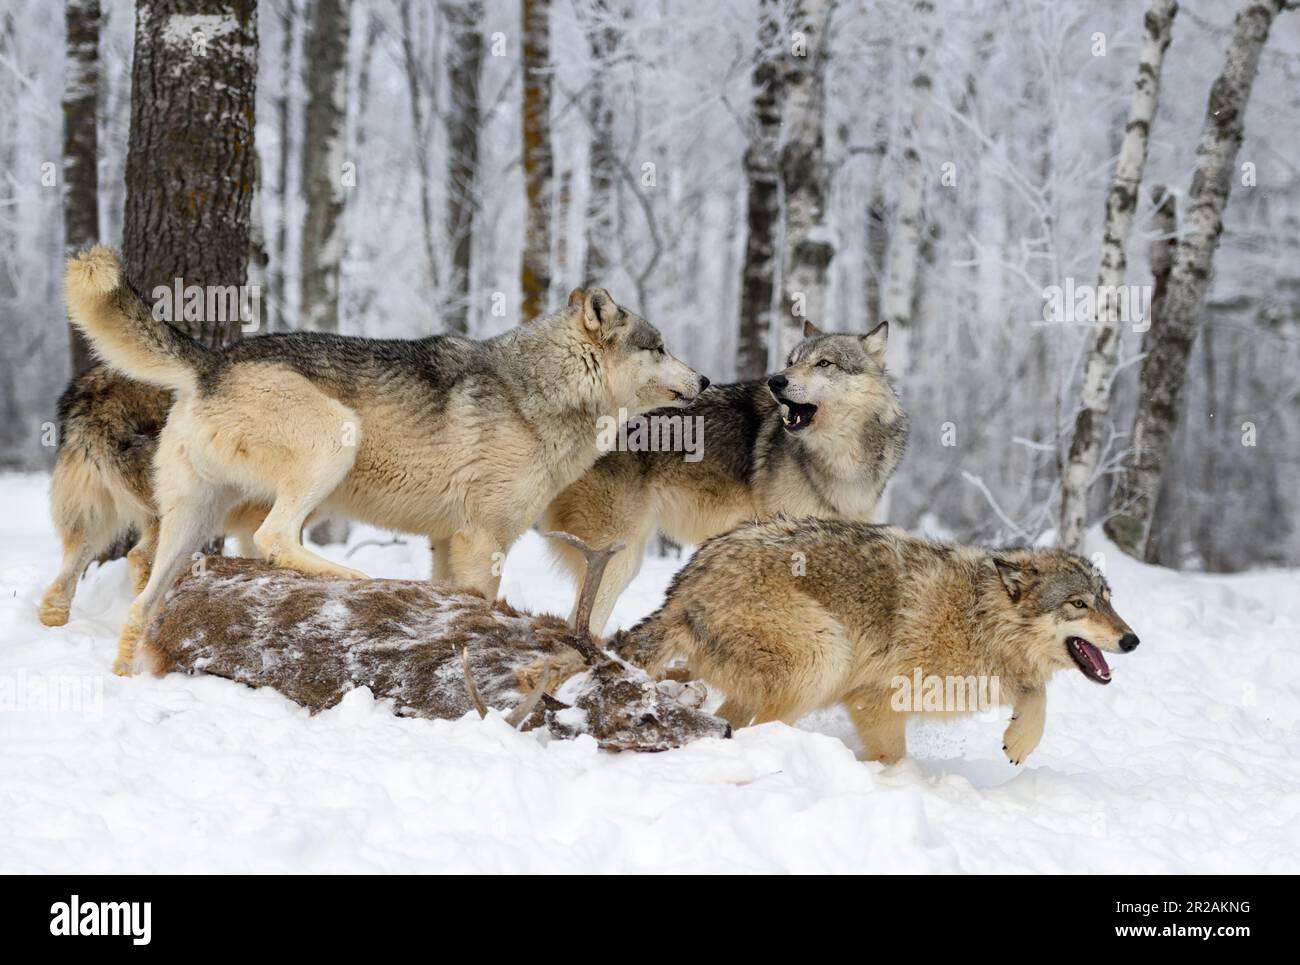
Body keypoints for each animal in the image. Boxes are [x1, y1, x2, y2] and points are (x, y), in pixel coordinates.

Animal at [65, 246, 705, 674]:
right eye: (661, 347)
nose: (704, 379)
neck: (538, 392)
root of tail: (211, 362)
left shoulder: (448, 544)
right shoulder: (484, 540)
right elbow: (486, 603)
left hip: (194, 523)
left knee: (143, 603)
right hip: (334, 443)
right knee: (274, 538)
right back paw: (350, 577)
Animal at [613, 517, 1140, 765]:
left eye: (1108, 599)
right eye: (1079, 604)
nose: (1132, 640)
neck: (978, 618)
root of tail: (681, 590)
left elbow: (1037, 694)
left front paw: (1020, 740)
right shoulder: (875, 695)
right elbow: (892, 755)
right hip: (823, 654)